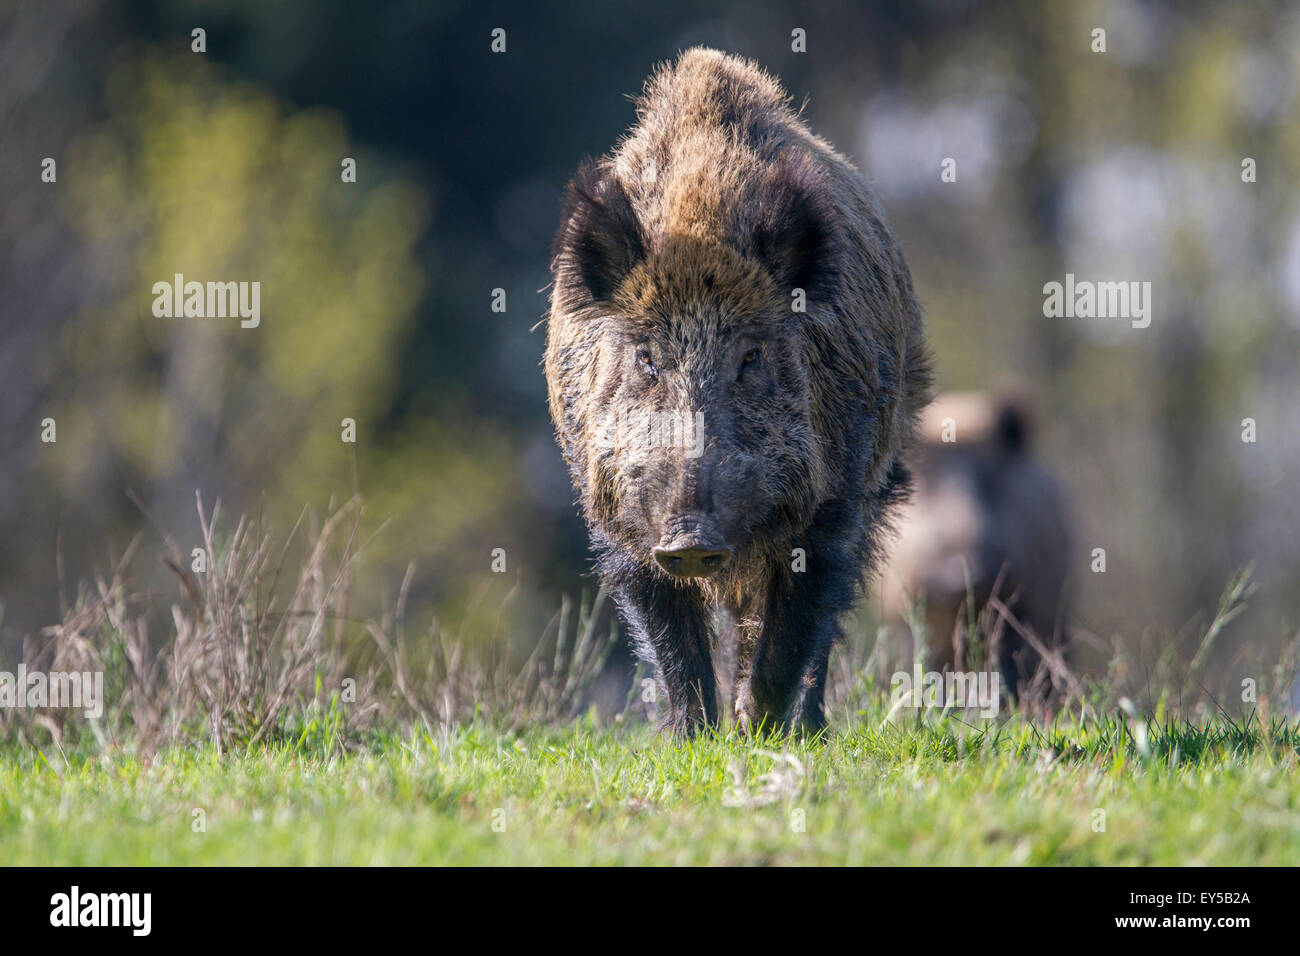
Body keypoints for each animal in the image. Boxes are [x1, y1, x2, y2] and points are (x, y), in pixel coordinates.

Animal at [544, 48, 930, 735]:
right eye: (646, 357)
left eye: (750, 356)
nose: (690, 537)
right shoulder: (614, 512)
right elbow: (668, 635)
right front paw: (694, 735)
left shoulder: (836, 495)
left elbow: (801, 616)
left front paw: (757, 723)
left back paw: (807, 728)